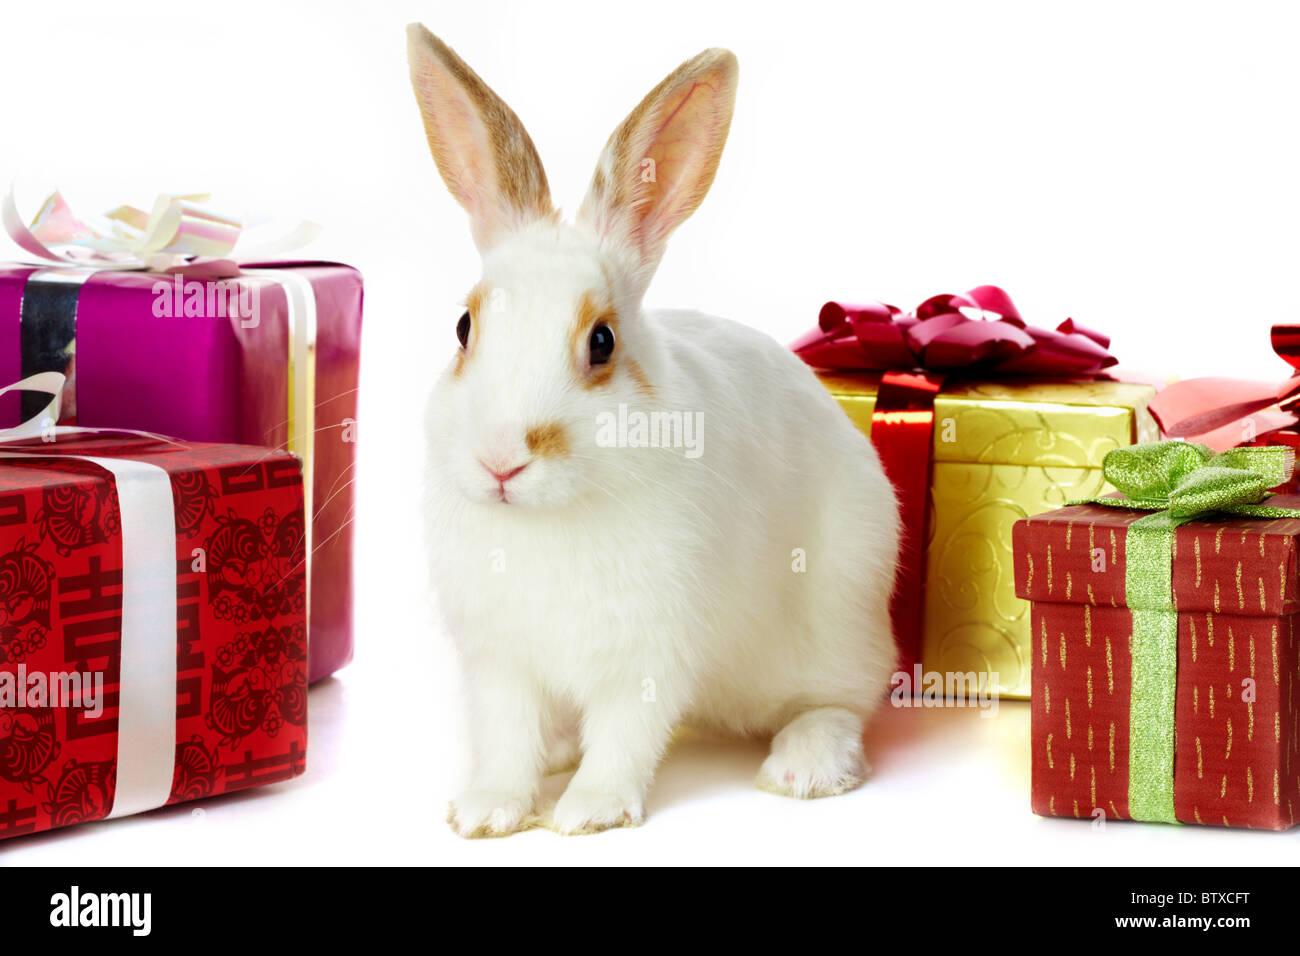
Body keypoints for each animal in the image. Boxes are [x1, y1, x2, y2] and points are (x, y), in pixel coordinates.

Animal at [407, 23, 900, 837]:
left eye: (602, 341)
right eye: (463, 328)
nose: (501, 461)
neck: (550, 516)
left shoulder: (650, 654)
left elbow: (625, 734)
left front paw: (588, 812)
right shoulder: (501, 662)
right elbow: (506, 737)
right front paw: (485, 811)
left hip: (841, 614)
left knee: (845, 701)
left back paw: (802, 765)